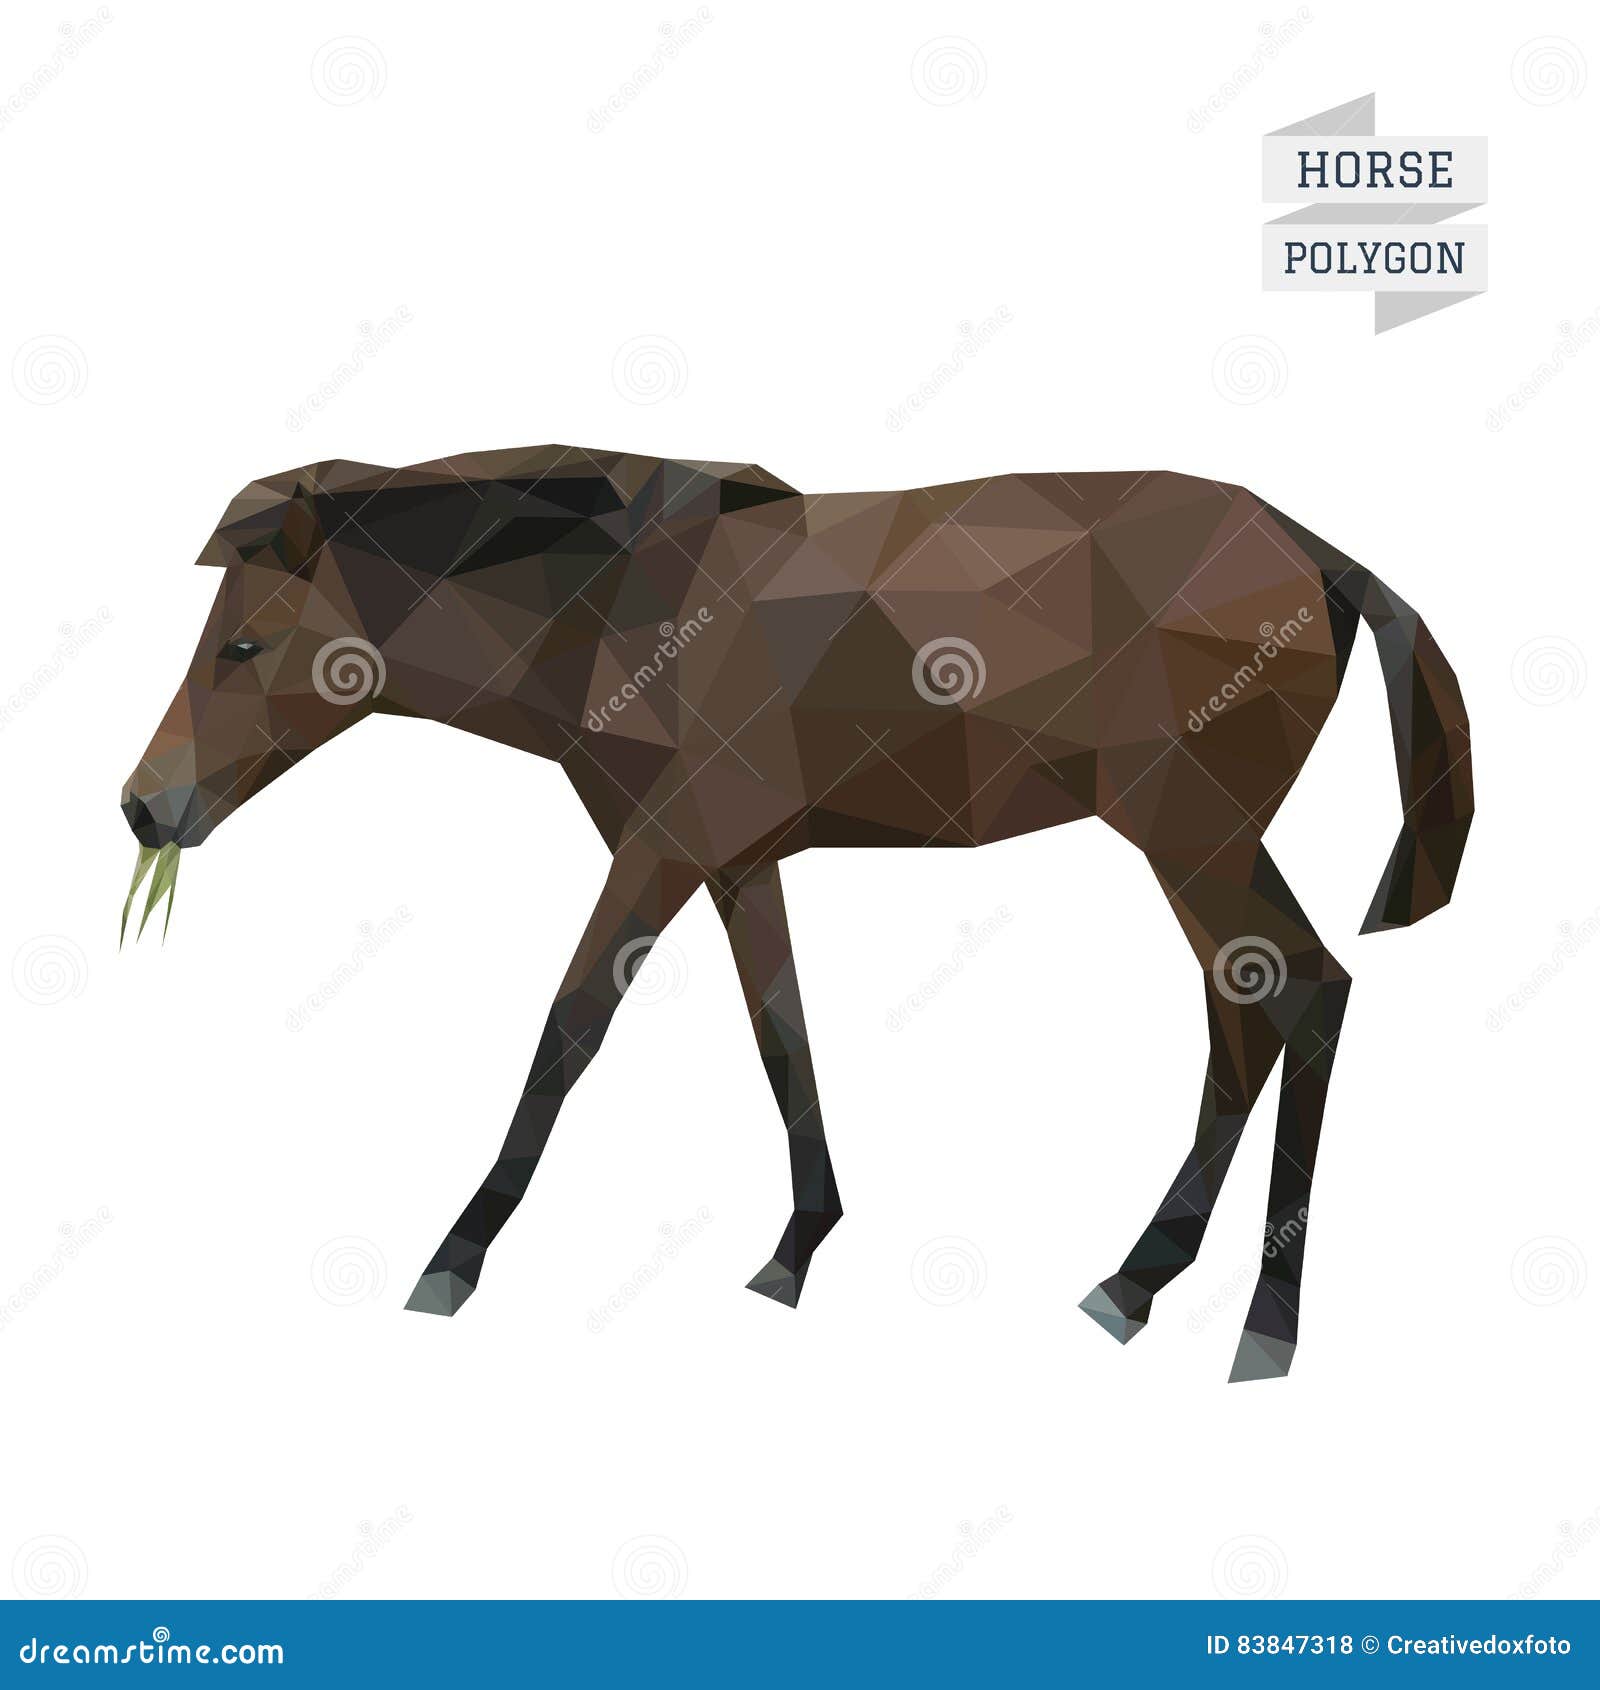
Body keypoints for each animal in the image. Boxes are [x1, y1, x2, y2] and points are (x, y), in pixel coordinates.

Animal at [121, 448, 1472, 1380]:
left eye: (243, 645)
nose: (144, 807)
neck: (626, 608)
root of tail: (1312, 552)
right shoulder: (736, 863)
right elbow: (783, 1039)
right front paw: (796, 1246)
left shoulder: (661, 853)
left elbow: (567, 1033)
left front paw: (454, 1257)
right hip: (1193, 845)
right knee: (1245, 1020)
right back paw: (1137, 1283)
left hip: (1190, 834)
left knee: (1304, 998)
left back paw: (1260, 1327)